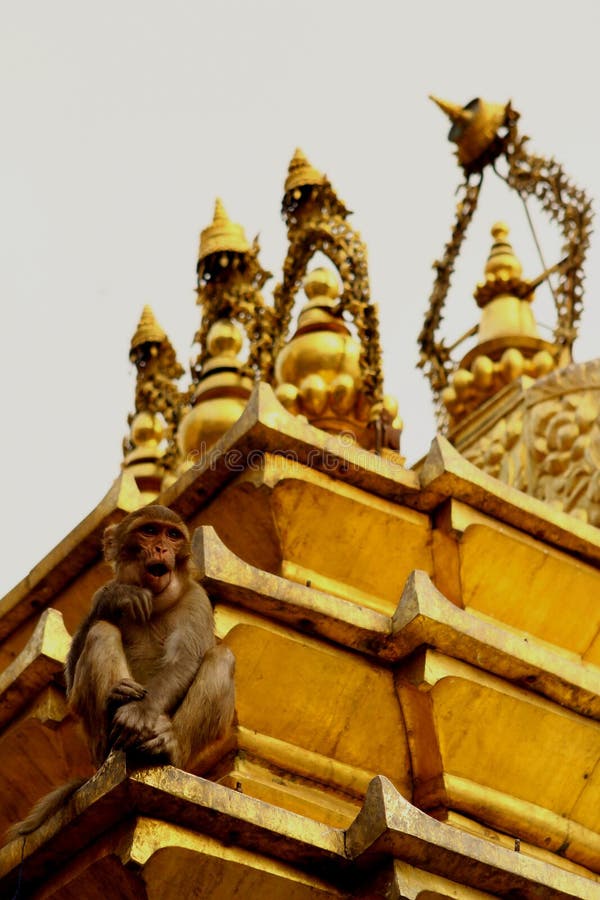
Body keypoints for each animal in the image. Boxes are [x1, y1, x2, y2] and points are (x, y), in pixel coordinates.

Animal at [7, 505, 235, 840]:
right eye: (150, 531)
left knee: (221, 656)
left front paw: (138, 712)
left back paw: (168, 746)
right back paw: (117, 708)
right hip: (96, 744)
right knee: (102, 631)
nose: (162, 548)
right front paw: (117, 599)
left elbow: (184, 660)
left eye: (173, 535)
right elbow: (71, 683)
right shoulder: (99, 592)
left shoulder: (197, 600)